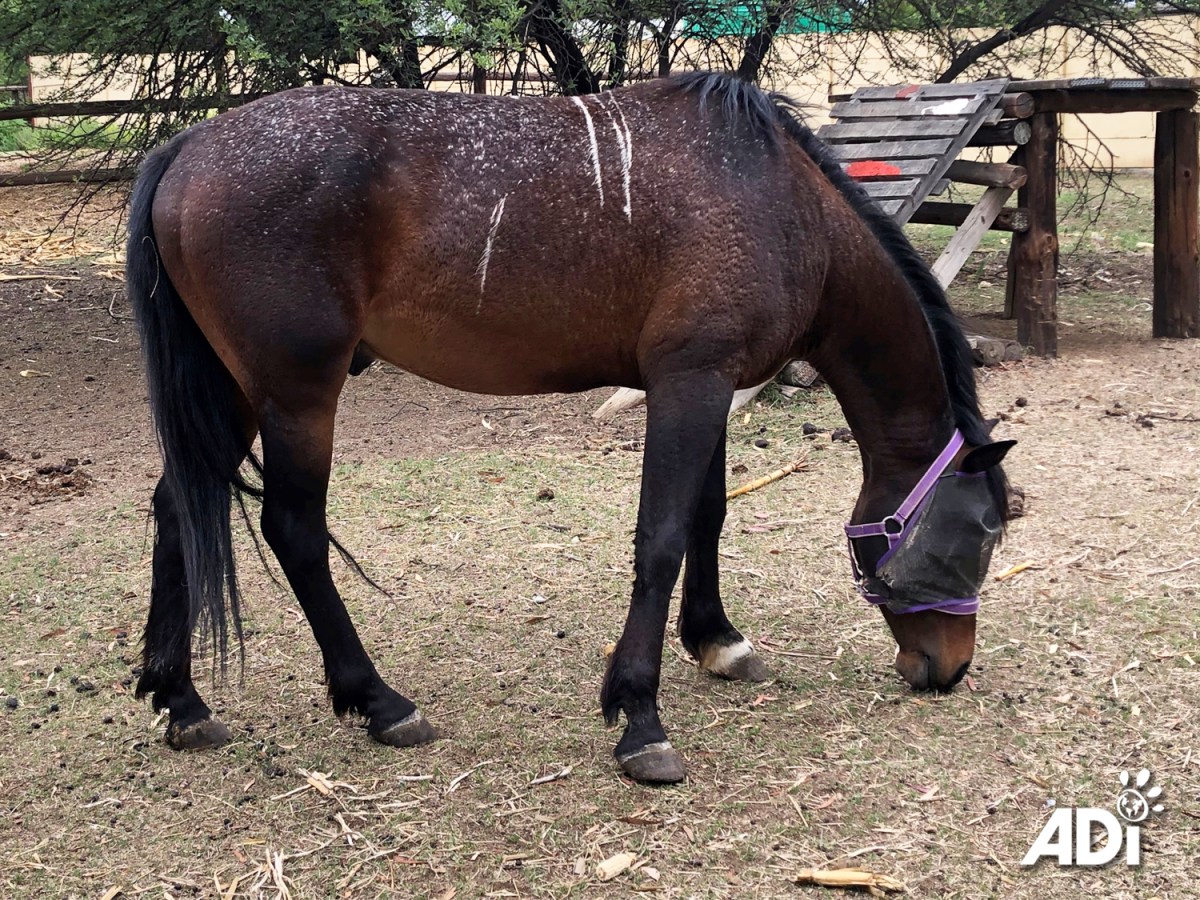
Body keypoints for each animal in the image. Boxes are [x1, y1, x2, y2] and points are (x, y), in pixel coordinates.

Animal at [125, 71, 1015, 784]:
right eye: (980, 535)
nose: (951, 669)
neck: (785, 205)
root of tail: (190, 147)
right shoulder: (690, 383)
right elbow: (661, 537)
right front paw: (641, 720)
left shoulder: (710, 382)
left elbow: (707, 516)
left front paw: (717, 639)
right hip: (296, 396)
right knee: (294, 531)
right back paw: (379, 701)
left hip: (231, 392)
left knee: (177, 508)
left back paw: (183, 701)